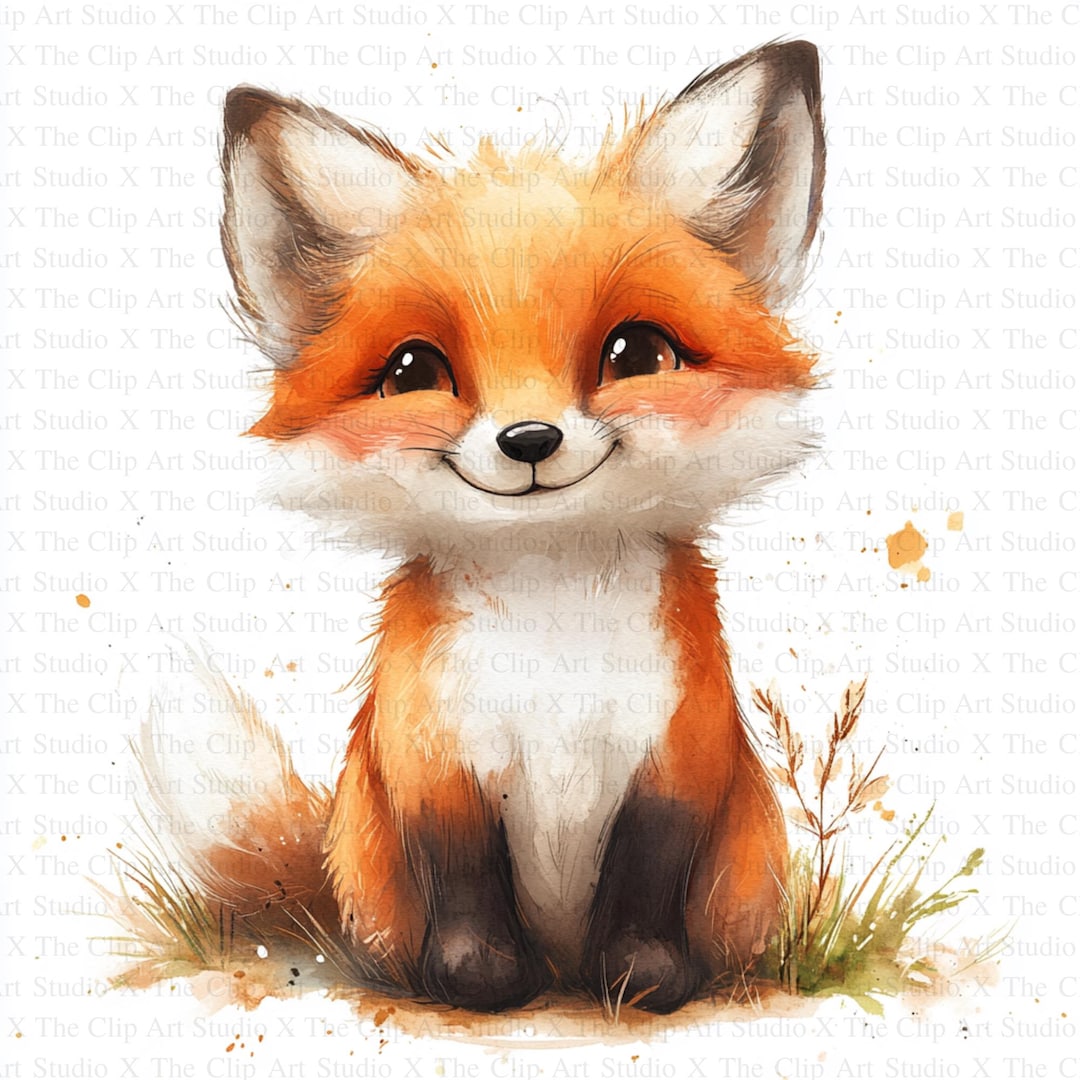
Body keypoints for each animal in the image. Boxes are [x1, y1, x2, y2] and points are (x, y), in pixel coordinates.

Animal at [141, 41, 824, 1015]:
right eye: (413, 371)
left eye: (637, 354)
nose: (529, 440)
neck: (553, 637)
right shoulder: (433, 762)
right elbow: (463, 882)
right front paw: (480, 981)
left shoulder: (677, 760)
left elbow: (648, 877)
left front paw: (642, 978)